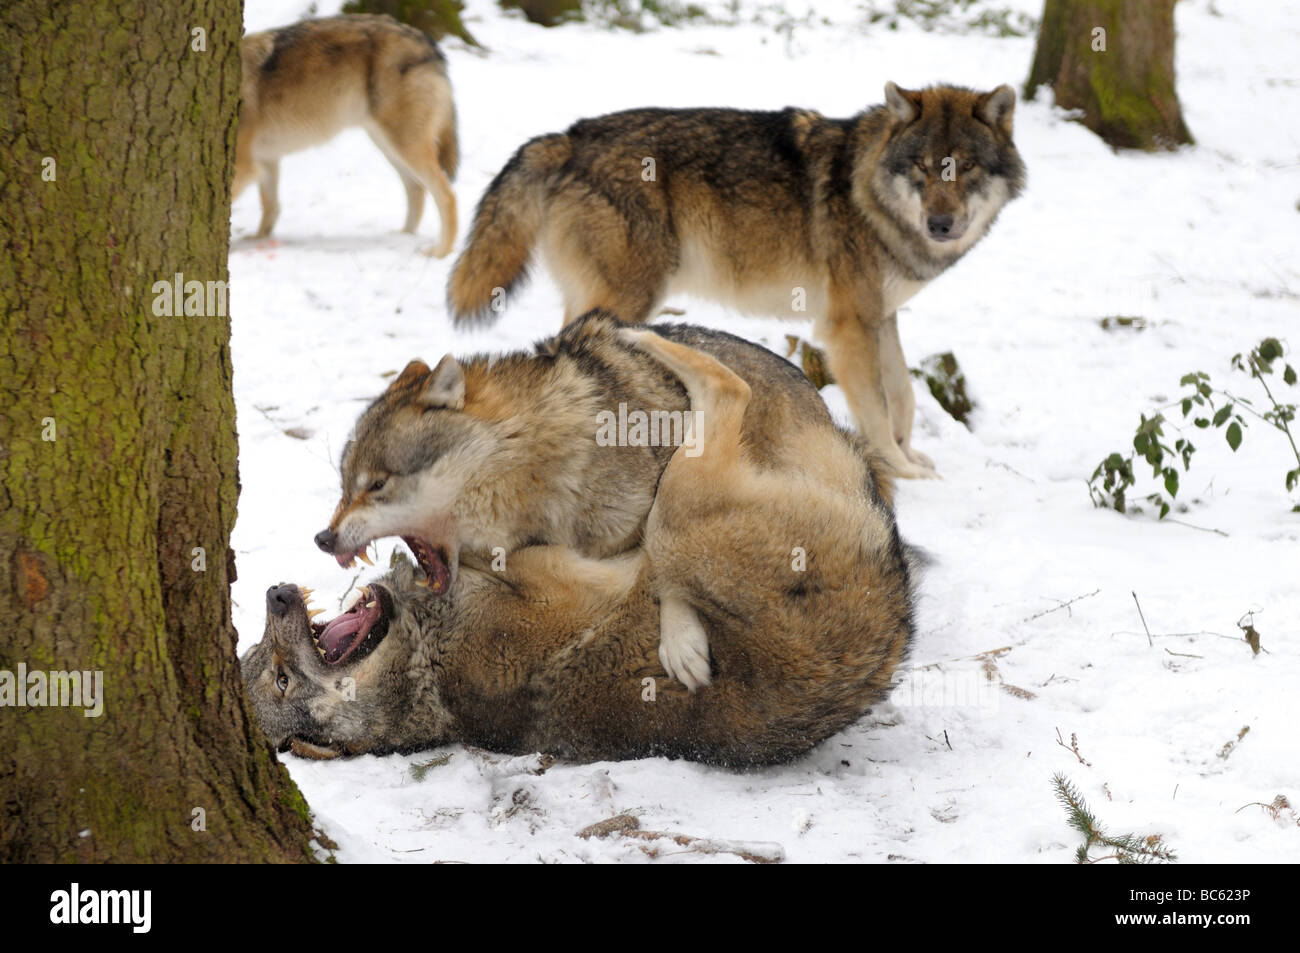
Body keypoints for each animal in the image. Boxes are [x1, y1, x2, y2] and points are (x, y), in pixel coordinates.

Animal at [233, 14, 459, 256]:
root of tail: (429, 43)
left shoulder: (244, 167)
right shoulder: (266, 159)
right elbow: (271, 206)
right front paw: (259, 238)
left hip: (404, 145)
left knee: (446, 195)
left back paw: (441, 251)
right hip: (387, 145)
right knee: (416, 188)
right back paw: (403, 236)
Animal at [446, 83, 1026, 476]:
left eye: (967, 167)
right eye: (924, 168)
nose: (940, 224)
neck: (867, 190)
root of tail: (568, 137)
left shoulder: (880, 317)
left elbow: (902, 392)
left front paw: (911, 457)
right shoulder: (848, 325)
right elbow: (878, 407)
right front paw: (898, 469)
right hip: (632, 296)